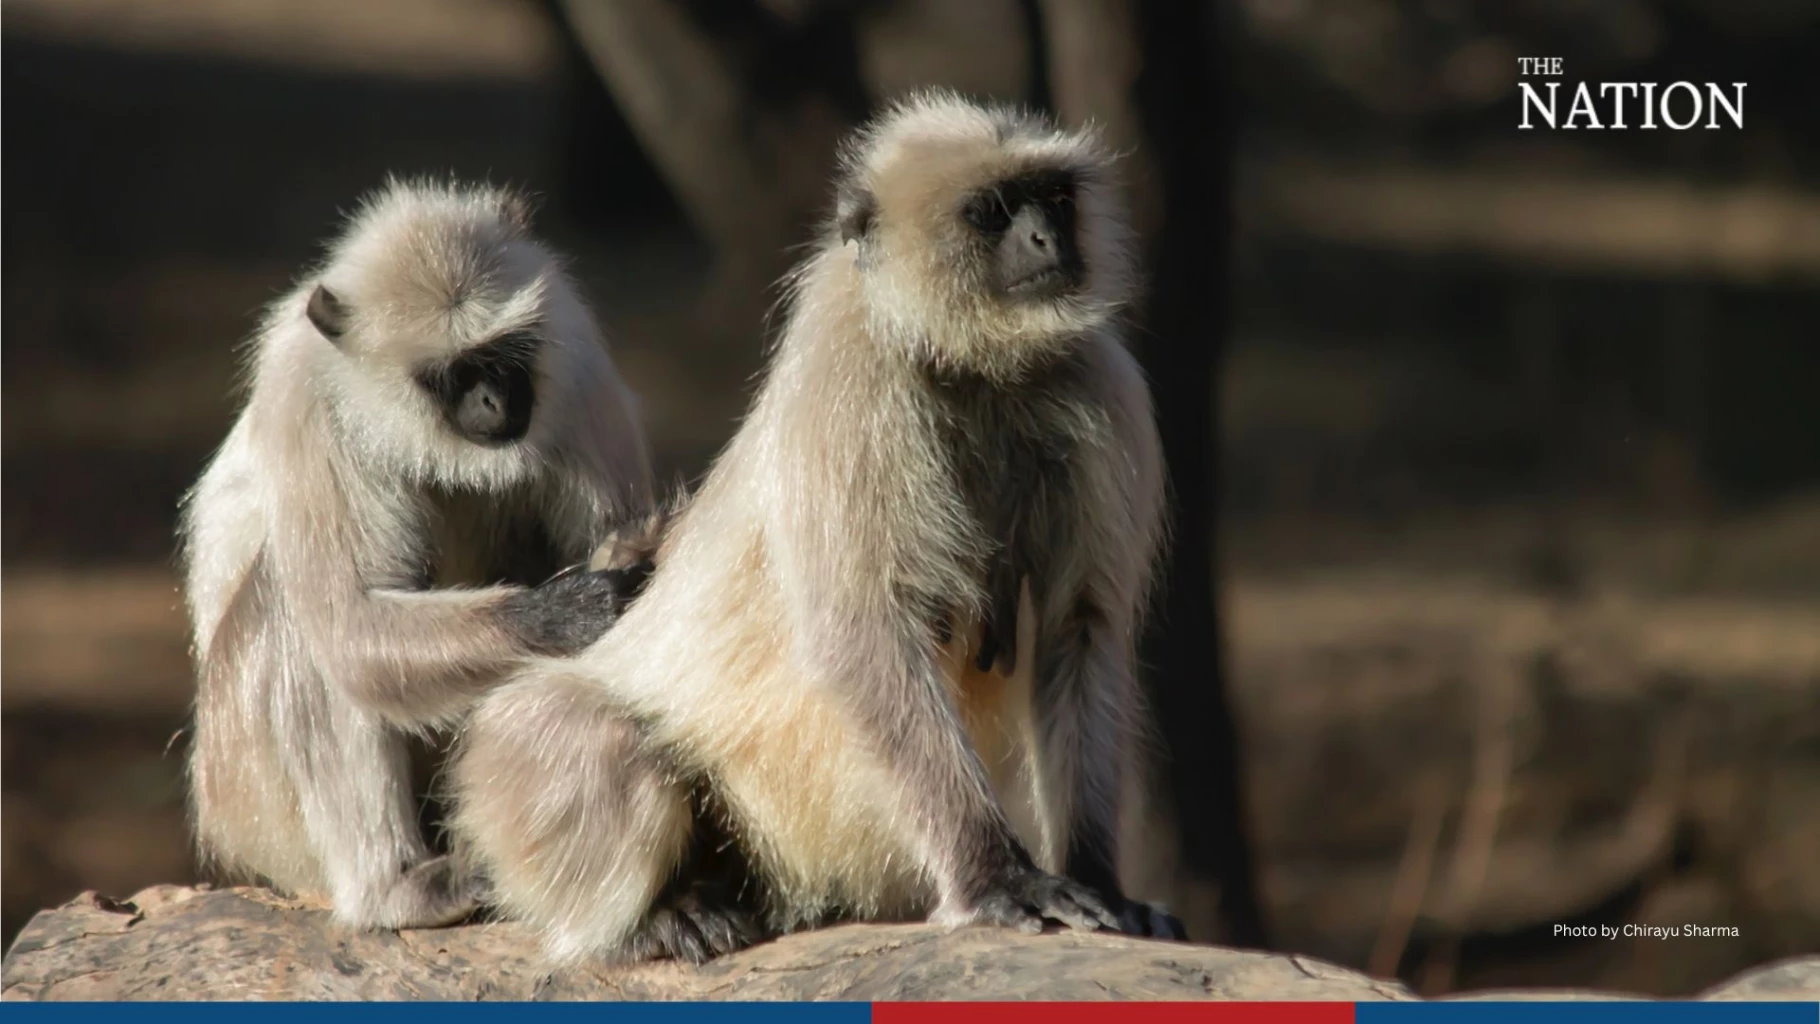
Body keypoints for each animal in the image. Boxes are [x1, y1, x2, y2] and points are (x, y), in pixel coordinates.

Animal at [179, 177, 677, 934]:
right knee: (302, 622)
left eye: (505, 353)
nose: (494, 400)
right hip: (246, 798)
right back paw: (394, 891)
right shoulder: (307, 397)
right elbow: (351, 635)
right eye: (452, 375)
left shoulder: (574, 359)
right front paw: (566, 614)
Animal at [450, 91, 1186, 965]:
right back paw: (650, 918)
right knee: (586, 732)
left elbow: (1081, 625)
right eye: (991, 212)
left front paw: (1101, 880)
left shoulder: (1098, 383)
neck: (973, 368)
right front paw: (997, 878)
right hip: (510, 782)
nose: (1047, 240)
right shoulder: (850, 374)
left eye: (1054, 200)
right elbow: (860, 630)